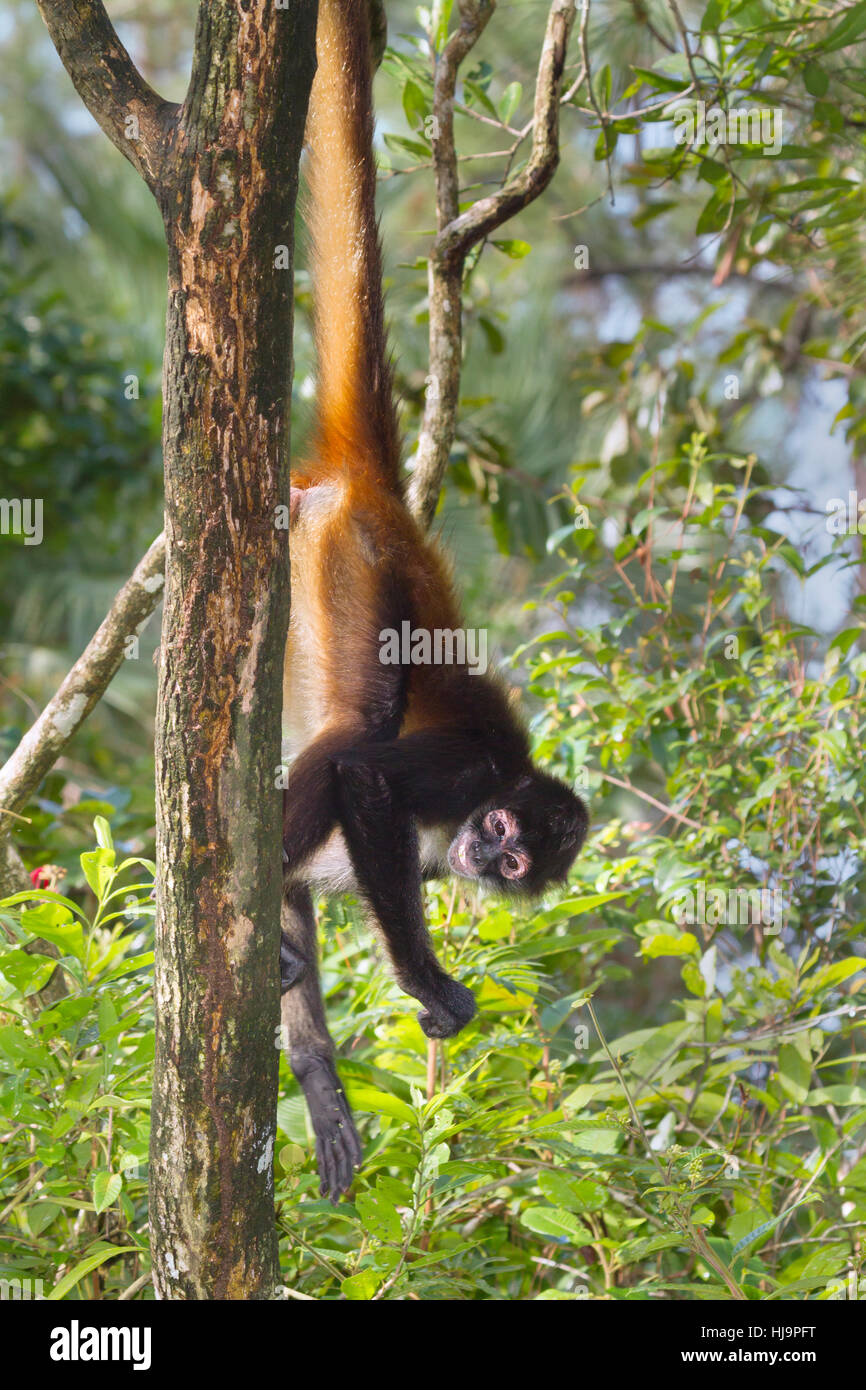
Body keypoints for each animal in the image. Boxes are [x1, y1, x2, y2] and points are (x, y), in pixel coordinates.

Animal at [279, 0, 588, 1201]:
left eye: (518, 862)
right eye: (497, 826)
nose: (486, 858)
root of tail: (383, 498)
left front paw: (320, 1083)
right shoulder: (466, 768)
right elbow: (366, 775)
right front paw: (427, 981)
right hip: (356, 561)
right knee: (351, 735)